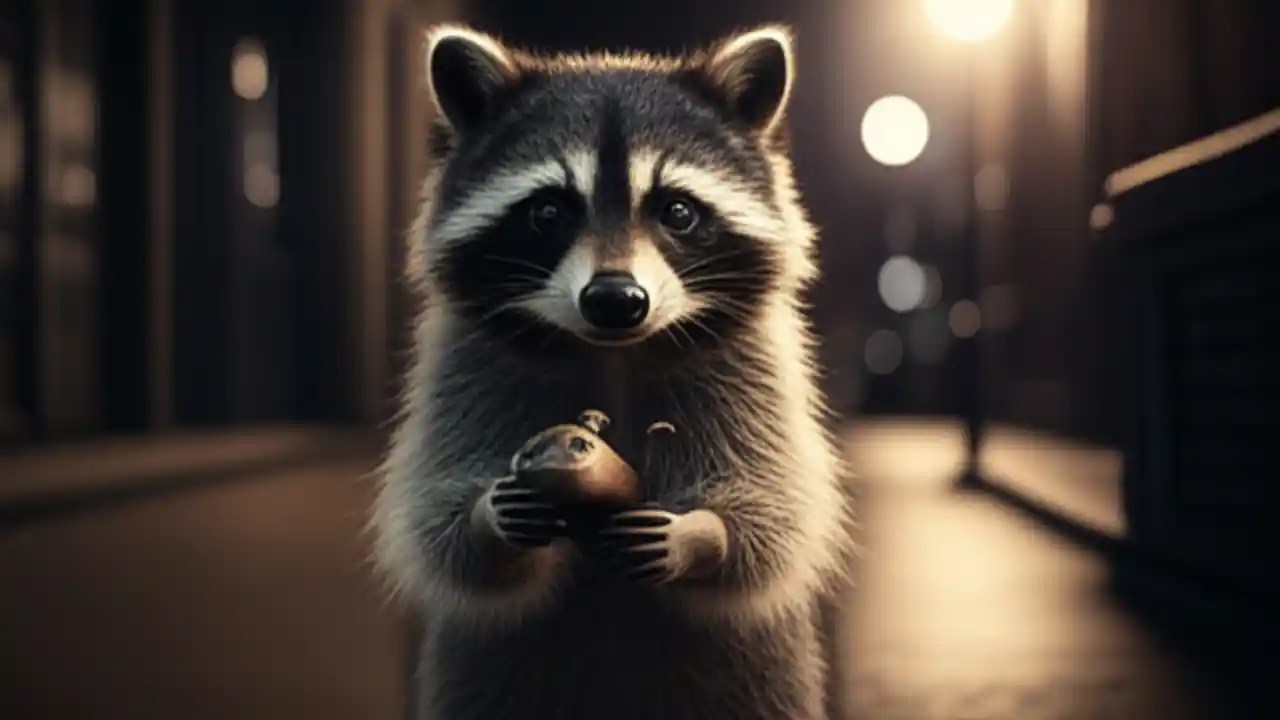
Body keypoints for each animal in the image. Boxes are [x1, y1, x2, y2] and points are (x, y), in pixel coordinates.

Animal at [372, 23, 854, 720]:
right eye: (548, 212)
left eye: (677, 211)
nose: (616, 299)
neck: (614, 350)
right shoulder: (464, 365)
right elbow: (436, 517)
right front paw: (489, 516)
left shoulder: (757, 366)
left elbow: (775, 507)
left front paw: (702, 534)